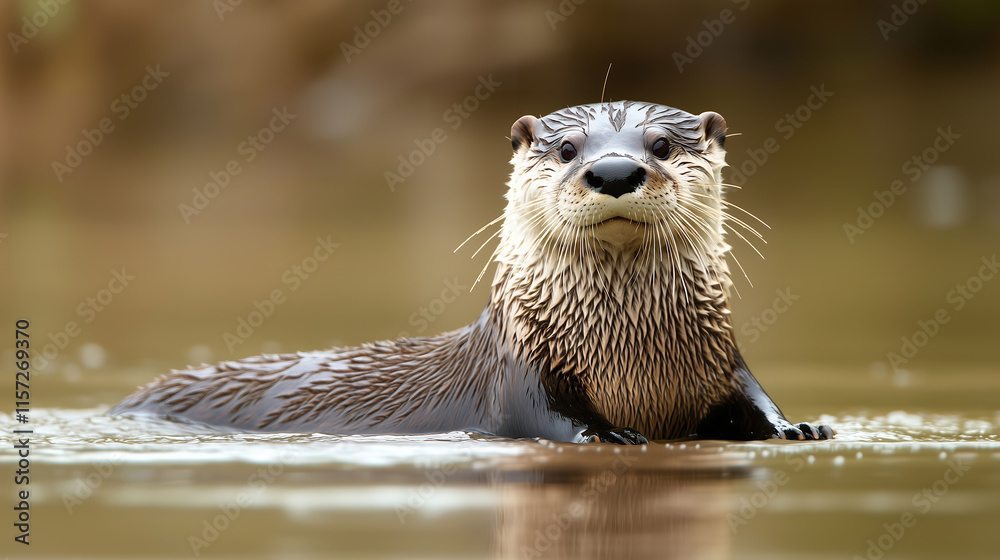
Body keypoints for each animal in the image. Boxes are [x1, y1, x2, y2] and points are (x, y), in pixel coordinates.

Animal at [110, 101, 833, 444]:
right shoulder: (524, 376)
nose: (614, 170)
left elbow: (754, 402)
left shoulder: (723, 362)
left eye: (660, 144)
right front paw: (609, 432)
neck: (633, 355)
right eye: (568, 149)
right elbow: (552, 416)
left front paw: (799, 427)